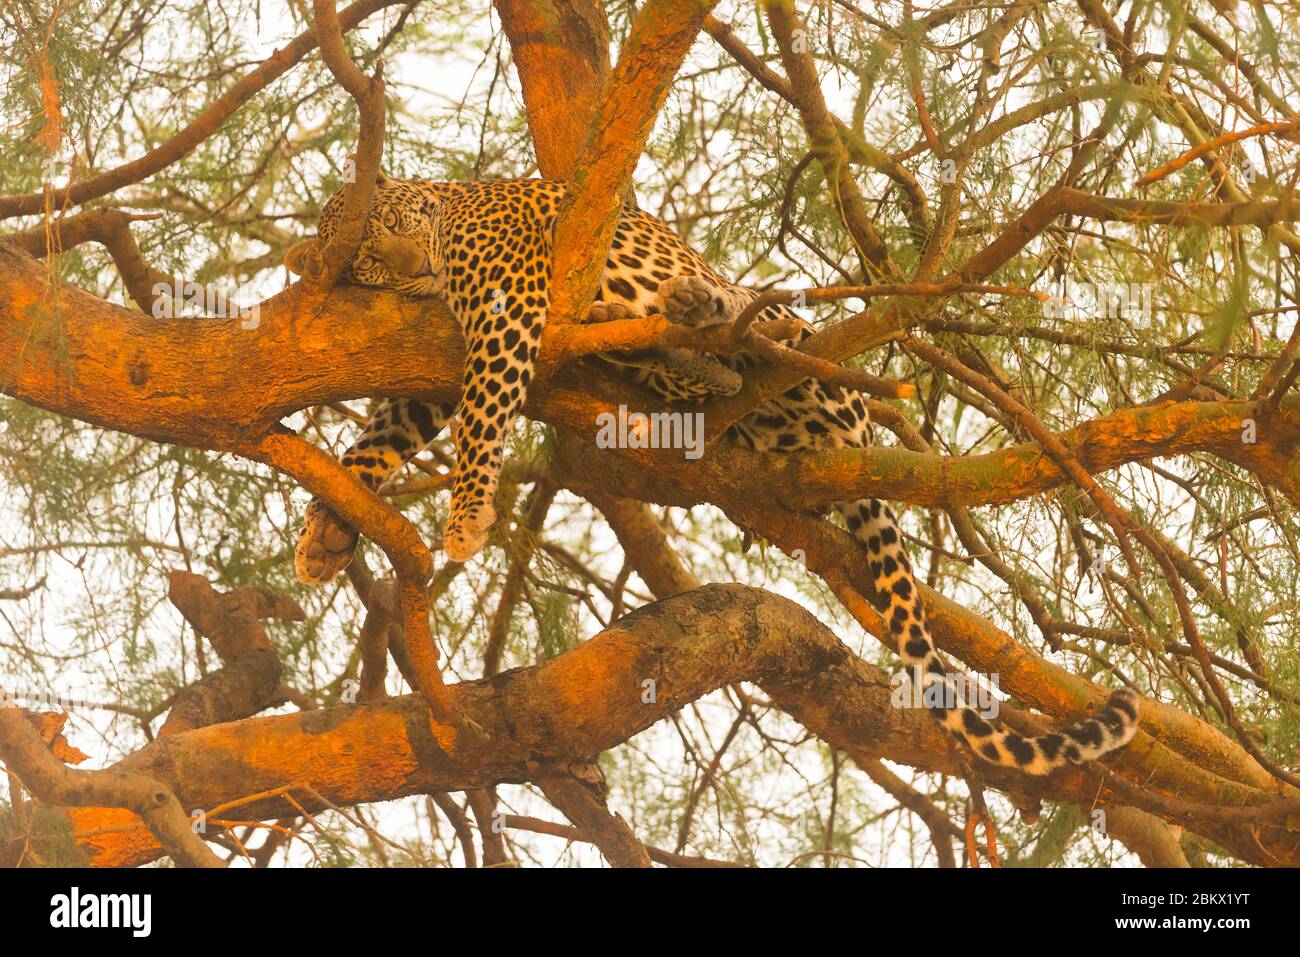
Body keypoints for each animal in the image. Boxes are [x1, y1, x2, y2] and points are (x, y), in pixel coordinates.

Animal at [282, 174, 1139, 776]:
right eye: (367, 259)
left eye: (396, 225)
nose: (408, 260)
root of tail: (859, 430)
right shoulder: (434, 361)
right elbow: (382, 432)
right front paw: (327, 534)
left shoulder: (509, 307)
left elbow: (484, 413)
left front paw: (464, 518)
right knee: (712, 372)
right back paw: (676, 347)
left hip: (792, 340)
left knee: (761, 324)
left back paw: (710, 313)